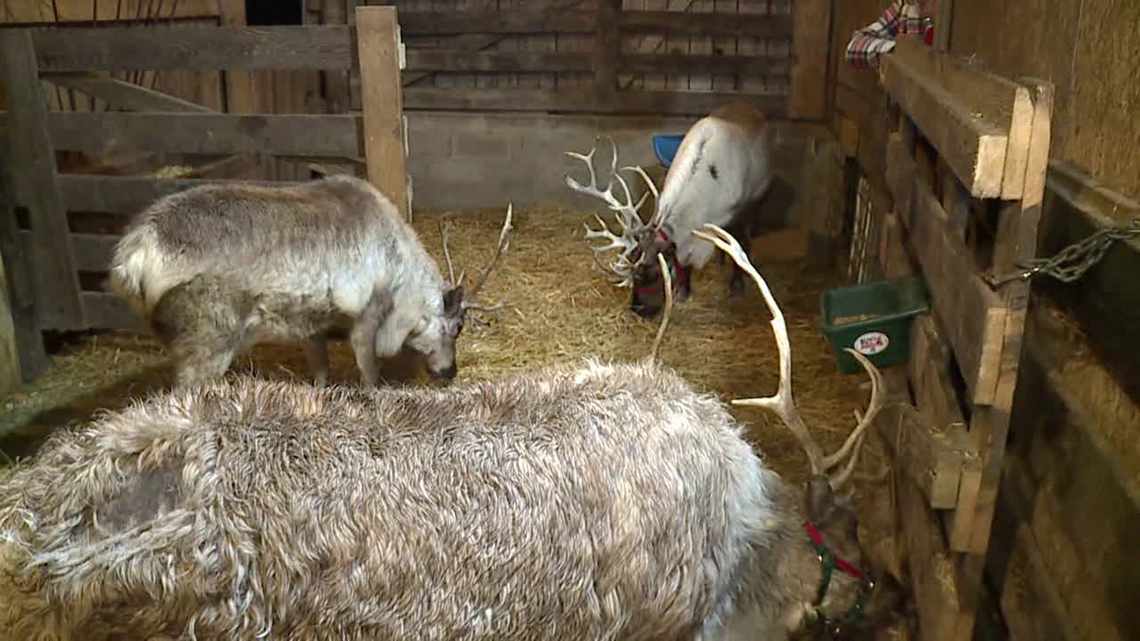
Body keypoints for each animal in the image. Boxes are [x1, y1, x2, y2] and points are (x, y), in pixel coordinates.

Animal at [107, 175, 513, 388]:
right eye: (457, 326)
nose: (450, 372)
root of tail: (132, 255)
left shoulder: (311, 323)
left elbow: (320, 372)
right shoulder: (367, 315)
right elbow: (370, 374)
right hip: (209, 334)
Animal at [565, 102, 794, 319]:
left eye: (653, 274)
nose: (638, 310)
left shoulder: (736, 212)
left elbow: (739, 245)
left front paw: (736, 286)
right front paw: (684, 291)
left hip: (760, 197)